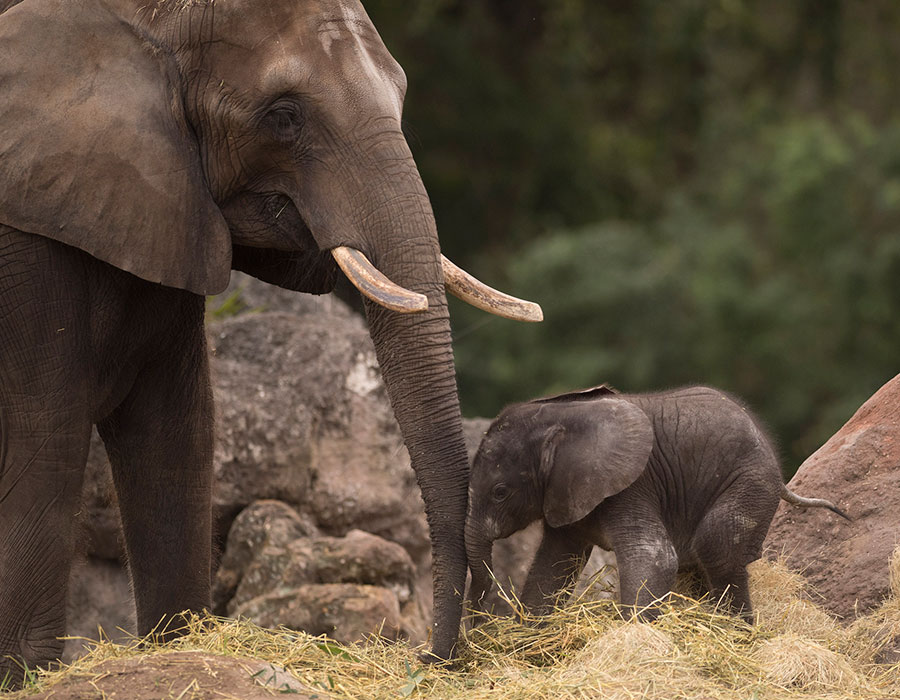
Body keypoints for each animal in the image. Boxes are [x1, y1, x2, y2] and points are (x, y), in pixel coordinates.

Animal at [0, 0, 543, 683]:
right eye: (284, 116)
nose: (431, 657)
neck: (132, 22)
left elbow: (174, 429)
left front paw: (180, 648)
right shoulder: (25, 245)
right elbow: (47, 428)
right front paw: (29, 676)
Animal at [465, 385, 848, 623]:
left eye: (500, 491)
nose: (475, 620)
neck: (559, 417)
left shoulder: (631, 486)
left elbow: (655, 557)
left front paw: (633, 640)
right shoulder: (566, 494)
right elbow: (551, 567)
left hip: (751, 481)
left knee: (716, 544)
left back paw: (736, 632)